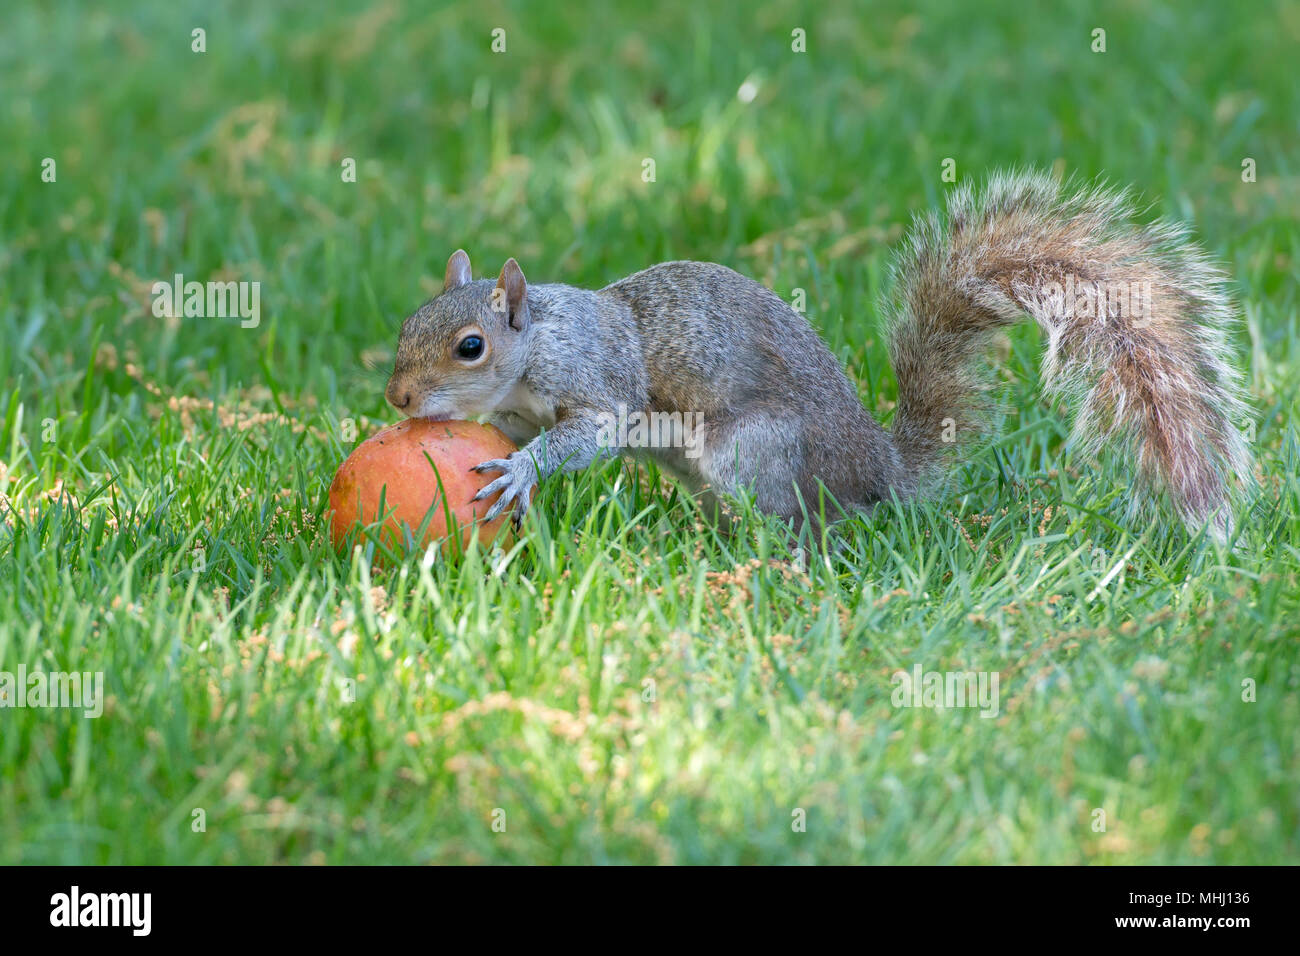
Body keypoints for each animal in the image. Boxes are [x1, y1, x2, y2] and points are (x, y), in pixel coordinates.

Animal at [385, 170, 1253, 540]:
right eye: (406, 324)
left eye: (470, 346)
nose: (397, 400)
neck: (537, 339)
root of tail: (875, 467)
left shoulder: (596, 375)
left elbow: (593, 427)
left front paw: (519, 471)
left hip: (754, 450)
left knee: (796, 521)